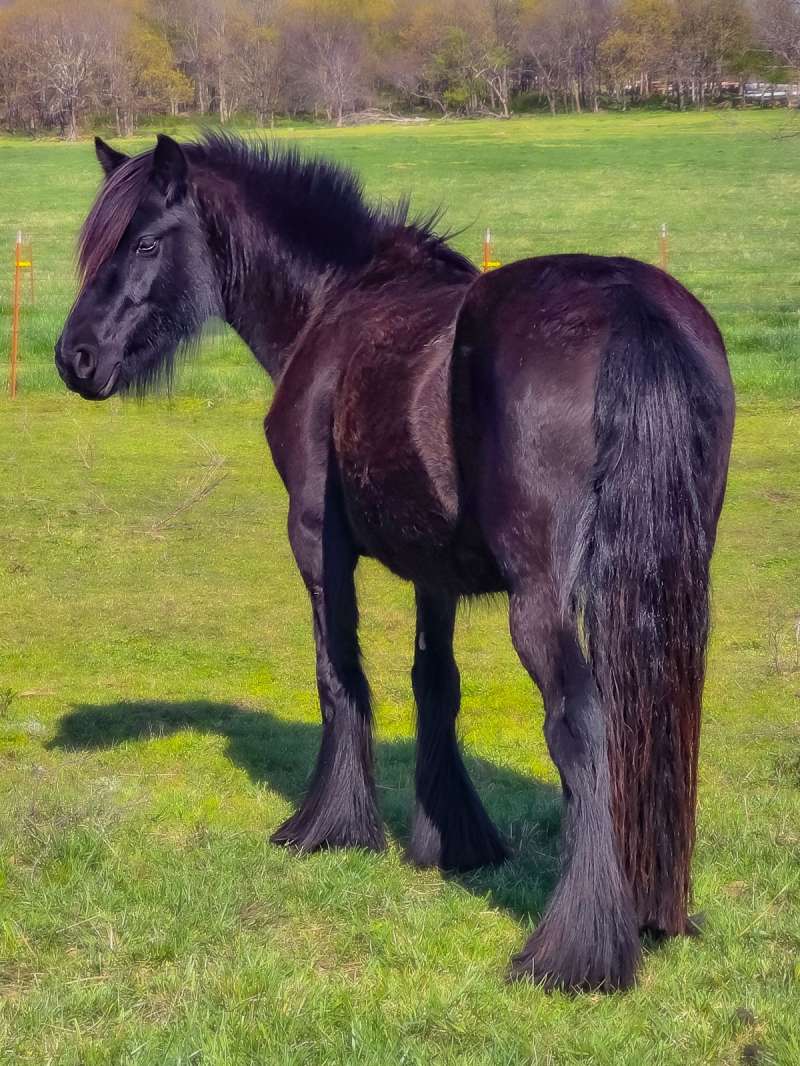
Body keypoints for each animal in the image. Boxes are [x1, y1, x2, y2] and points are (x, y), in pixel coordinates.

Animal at [56, 132, 735, 992]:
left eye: (143, 243)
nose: (73, 357)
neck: (334, 304)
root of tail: (628, 306)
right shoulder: (434, 573)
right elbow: (434, 684)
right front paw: (454, 842)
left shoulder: (315, 537)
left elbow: (339, 673)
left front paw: (330, 825)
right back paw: (647, 914)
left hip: (542, 600)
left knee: (581, 724)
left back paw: (573, 950)